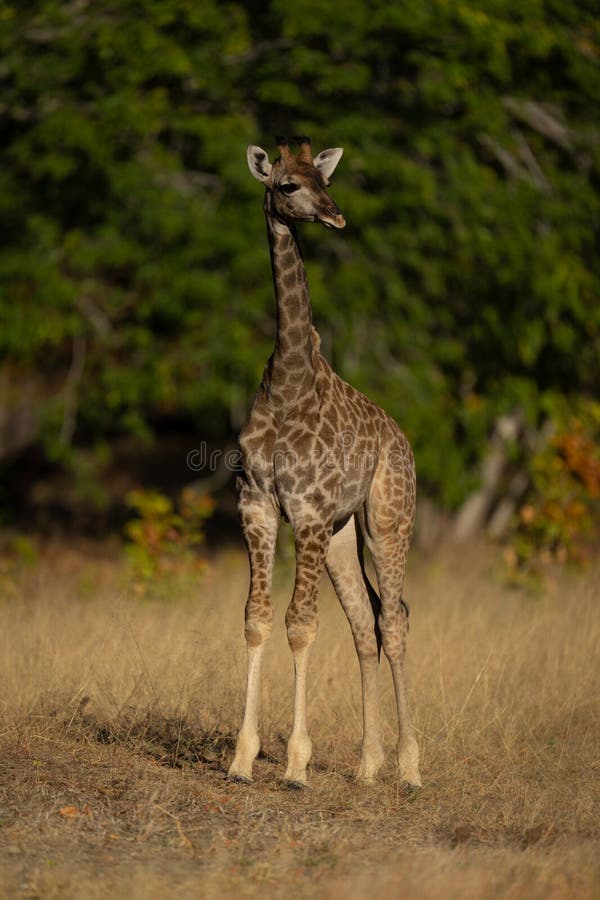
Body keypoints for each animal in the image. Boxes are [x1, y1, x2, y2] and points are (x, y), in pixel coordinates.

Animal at [228, 136, 421, 790]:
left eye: (324, 179)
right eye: (288, 185)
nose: (335, 215)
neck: (288, 380)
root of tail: (403, 440)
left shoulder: (307, 512)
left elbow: (301, 623)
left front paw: (295, 763)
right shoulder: (259, 506)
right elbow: (259, 617)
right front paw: (242, 758)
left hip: (386, 521)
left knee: (395, 619)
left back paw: (410, 768)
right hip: (341, 536)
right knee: (367, 622)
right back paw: (367, 766)